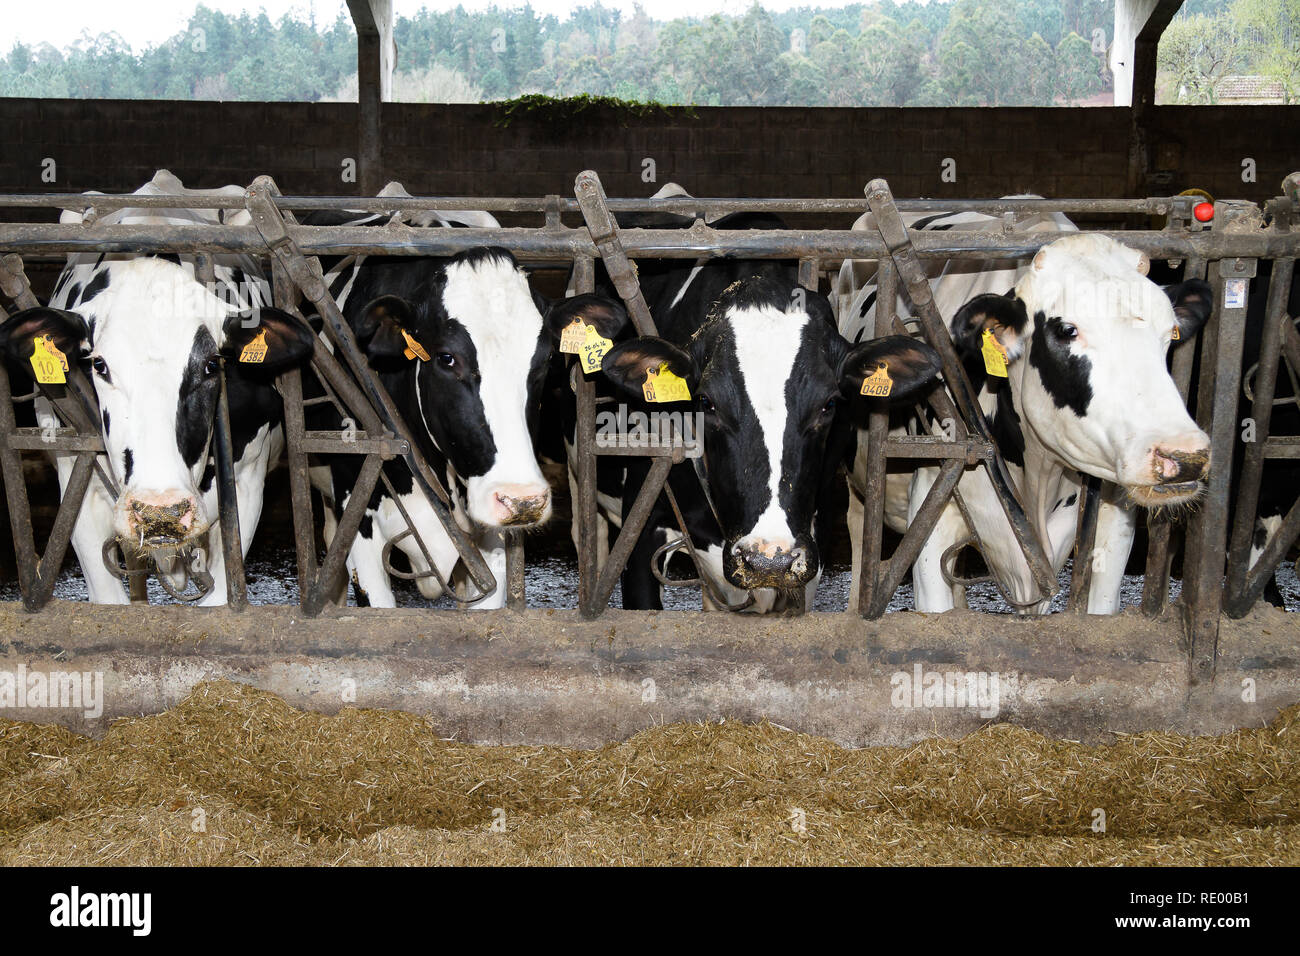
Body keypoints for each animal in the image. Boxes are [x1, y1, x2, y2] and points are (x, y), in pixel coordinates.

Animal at [834, 205, 1214, 614]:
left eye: (1171, 332)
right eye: (1067, 329)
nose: (1184, 455)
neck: (1038, 475)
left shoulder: (1113, 521)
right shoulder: (933, 507)